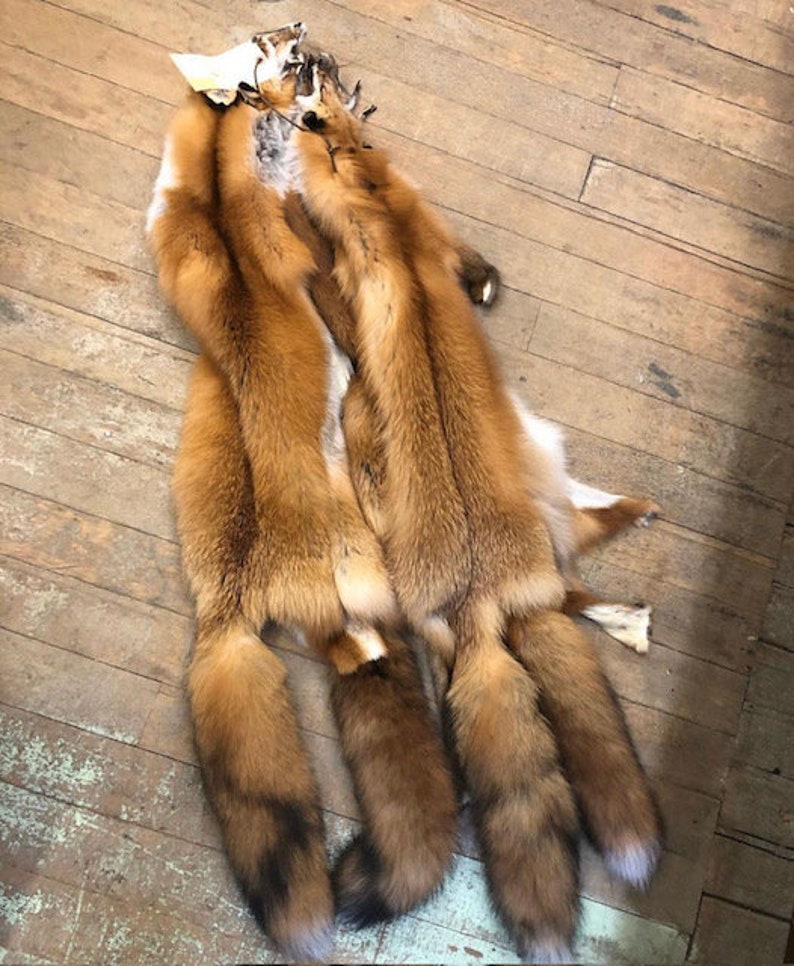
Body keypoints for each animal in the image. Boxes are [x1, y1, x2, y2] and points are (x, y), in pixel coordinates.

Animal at [147, 26, 459, 959]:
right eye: (280, 52)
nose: (303, 33)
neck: (224, 177)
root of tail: (233, 609)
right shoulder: (301, 232)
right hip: (369, 590)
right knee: (376, 653)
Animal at [288, 54, 662, 958]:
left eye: (321, 98)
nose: (312, 65)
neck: (381, 210)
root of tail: (489, 600)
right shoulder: (440, 244)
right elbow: (480, 274)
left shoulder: (352, 278)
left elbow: (319, 267)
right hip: (542, 520)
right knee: (580, 576)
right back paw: (633, 590)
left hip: (438, 602)